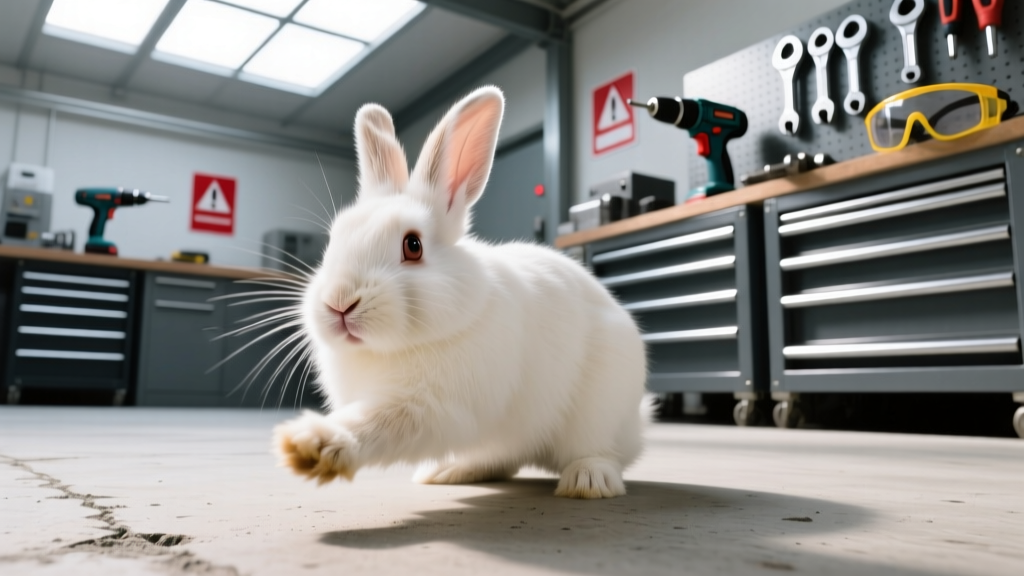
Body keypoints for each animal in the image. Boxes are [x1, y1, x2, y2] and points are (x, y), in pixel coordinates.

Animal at [273, 85, 648, 499]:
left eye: (413, 246)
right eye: (334, 239)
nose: (339, 302)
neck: (390, 350)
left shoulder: (435, 408)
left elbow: (376, 423)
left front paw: (311, 443)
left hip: (600, 410)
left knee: (603, 452)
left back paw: (587, 481)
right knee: (503, 460)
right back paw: (448, 470)